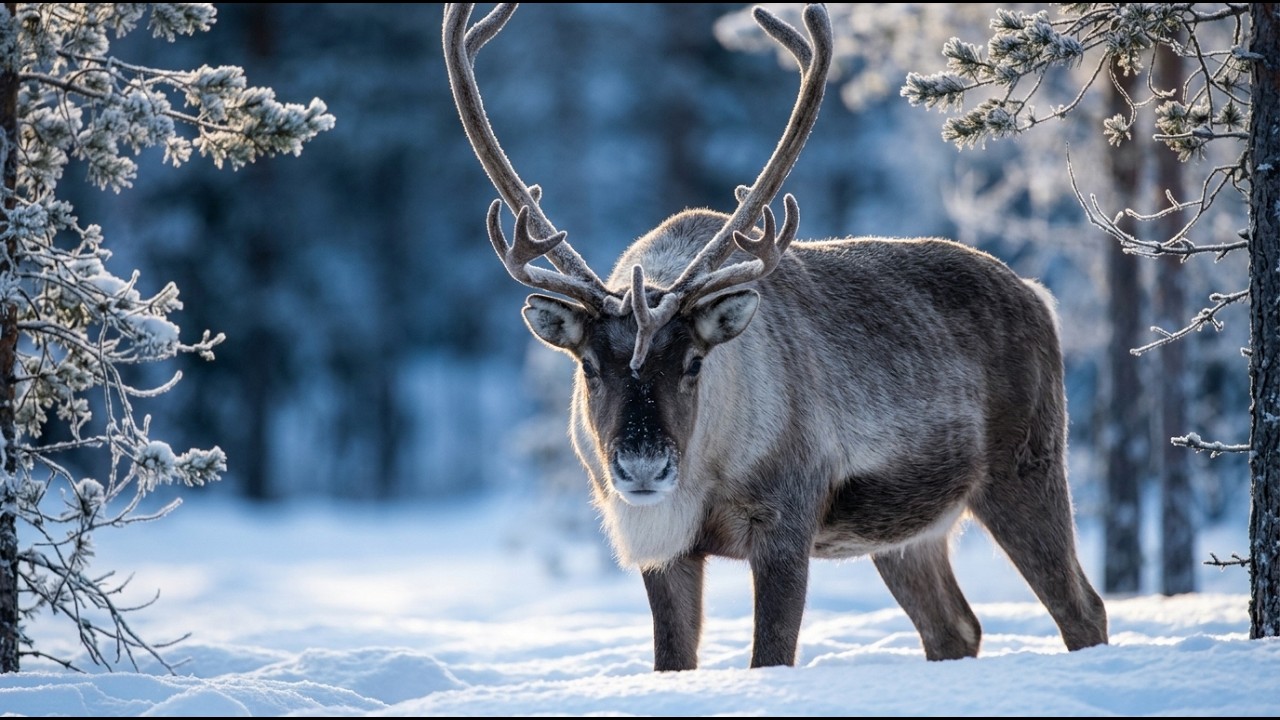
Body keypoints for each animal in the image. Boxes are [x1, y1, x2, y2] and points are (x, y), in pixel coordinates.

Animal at [442, 2, 1109, 671]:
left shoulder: (786, 523)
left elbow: (771, 655)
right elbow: (672, 659)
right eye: (588, 365)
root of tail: (1038, 296)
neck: (706, 474)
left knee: (1083, 607)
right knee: (955, 628)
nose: (642, 466)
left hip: (1026, 469)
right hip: (907, 531)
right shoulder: (665, 549)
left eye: (693, 362)